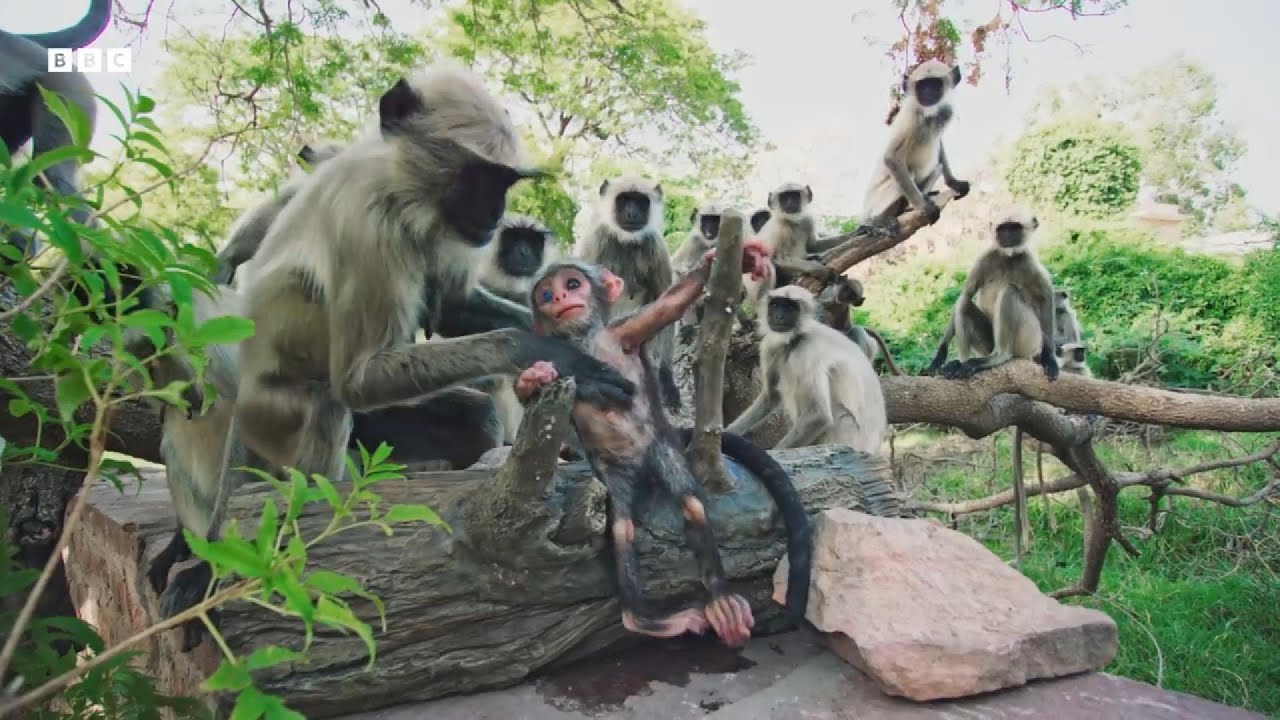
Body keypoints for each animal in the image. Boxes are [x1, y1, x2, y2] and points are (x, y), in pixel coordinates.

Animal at [515, 242, 811, 647]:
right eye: (545, 295)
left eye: (572, 284)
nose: (559, 297)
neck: (585, 343)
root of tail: (643, 468)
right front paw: (533, 377)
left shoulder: (623, 332)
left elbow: (669, 307)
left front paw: (733, 259)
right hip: (614, 474)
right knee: (622, 529)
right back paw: (641, 620)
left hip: (662, 449)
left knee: (691, 503)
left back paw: (721, 600)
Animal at [574, 175, 681, 413]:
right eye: (624, 200)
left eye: (640, 201)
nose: (632, 213)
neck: (626, 241)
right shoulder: (594, 241)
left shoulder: (656, 247)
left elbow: (669, 302)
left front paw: (667, 380)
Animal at [728, 279, 888, 454]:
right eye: (775, 305)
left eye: (791, 307)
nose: (779, 316)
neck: (795, 338)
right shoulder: (770, 347)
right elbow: (770, 395)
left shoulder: (806, 350)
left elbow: (819, 416)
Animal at [861, 60, 971, 236]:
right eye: (922, 86)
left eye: (934, 84)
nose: (928, 93)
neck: (929, 114)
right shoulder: (910, 116)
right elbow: (891, 158)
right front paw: (924, 208)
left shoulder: (945, 112)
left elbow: (939, 142)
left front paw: (954, 183)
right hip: (875, 203)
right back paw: (879, 219)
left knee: (938, 167)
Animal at [926, 210, 1059, 382]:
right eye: (1002, 229)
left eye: (1014, 228)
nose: (1007, 237)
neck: (1008, 258)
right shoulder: (985, 257)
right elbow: (966, 294)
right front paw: (939, 357)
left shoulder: (1029, 261)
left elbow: (1045, 299)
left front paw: (1049, 358)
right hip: (988, 345)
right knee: (964, 303)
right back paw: (961, 363)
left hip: (1031, 339)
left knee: (1009, 292)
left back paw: (1000, 356)